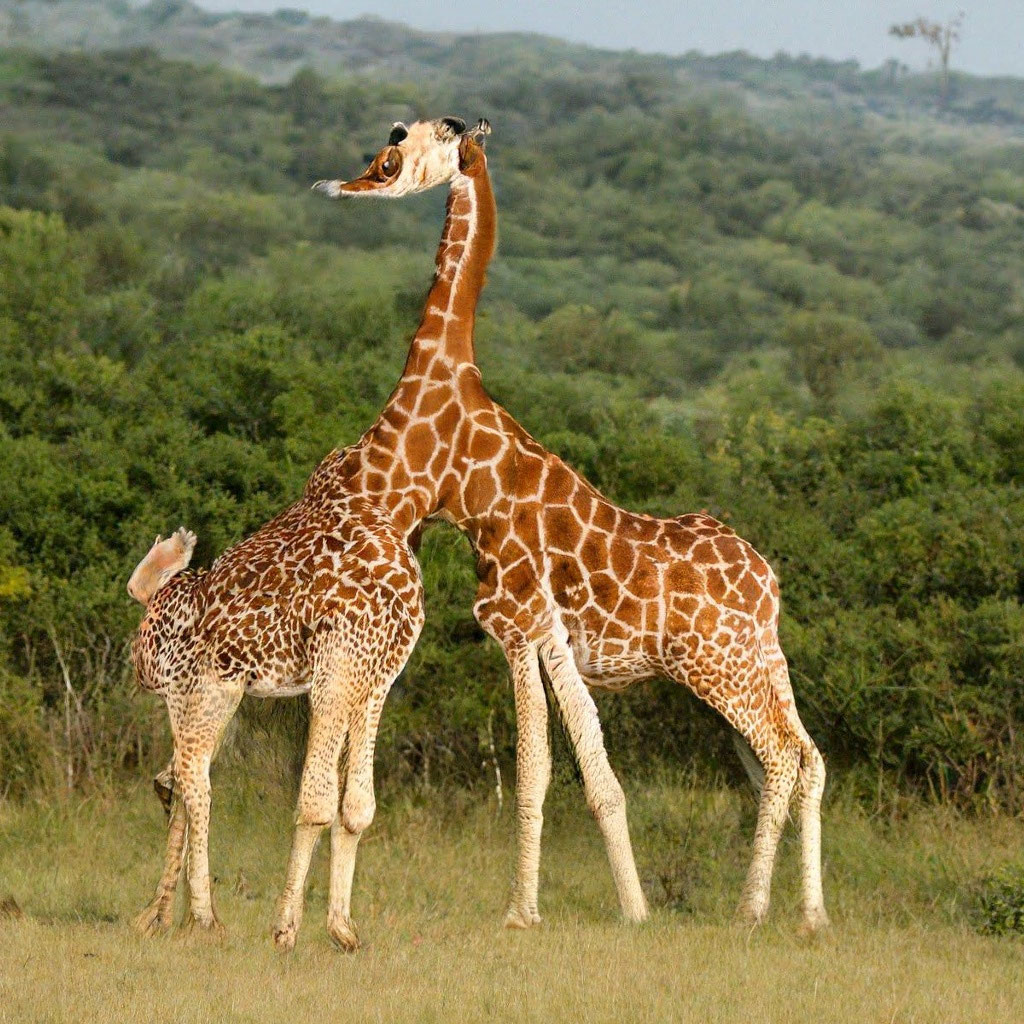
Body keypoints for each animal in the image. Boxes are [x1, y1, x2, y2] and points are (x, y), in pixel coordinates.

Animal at [128, 492, 424, 951]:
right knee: (194, 777)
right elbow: (319, 804)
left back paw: (168, 915)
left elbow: (357, 806)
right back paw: (201, 917)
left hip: (214, 693)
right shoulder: (336, 676)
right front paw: (288, 929)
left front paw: (341, 929)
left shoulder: (375, 683)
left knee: (183, 773)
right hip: (198, 686)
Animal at [310, 117, 830, 935]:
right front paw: (602, 906)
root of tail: (768, 582)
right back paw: (806, 916)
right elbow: (573, 766)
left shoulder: (519, 624)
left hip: (716, 667)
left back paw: (752, 911)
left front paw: (526, 913)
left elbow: (544, 769)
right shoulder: (527, 631)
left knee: (780, 758)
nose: (345, 184)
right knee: (804, 757)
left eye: (397, 148)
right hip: (758, 663)